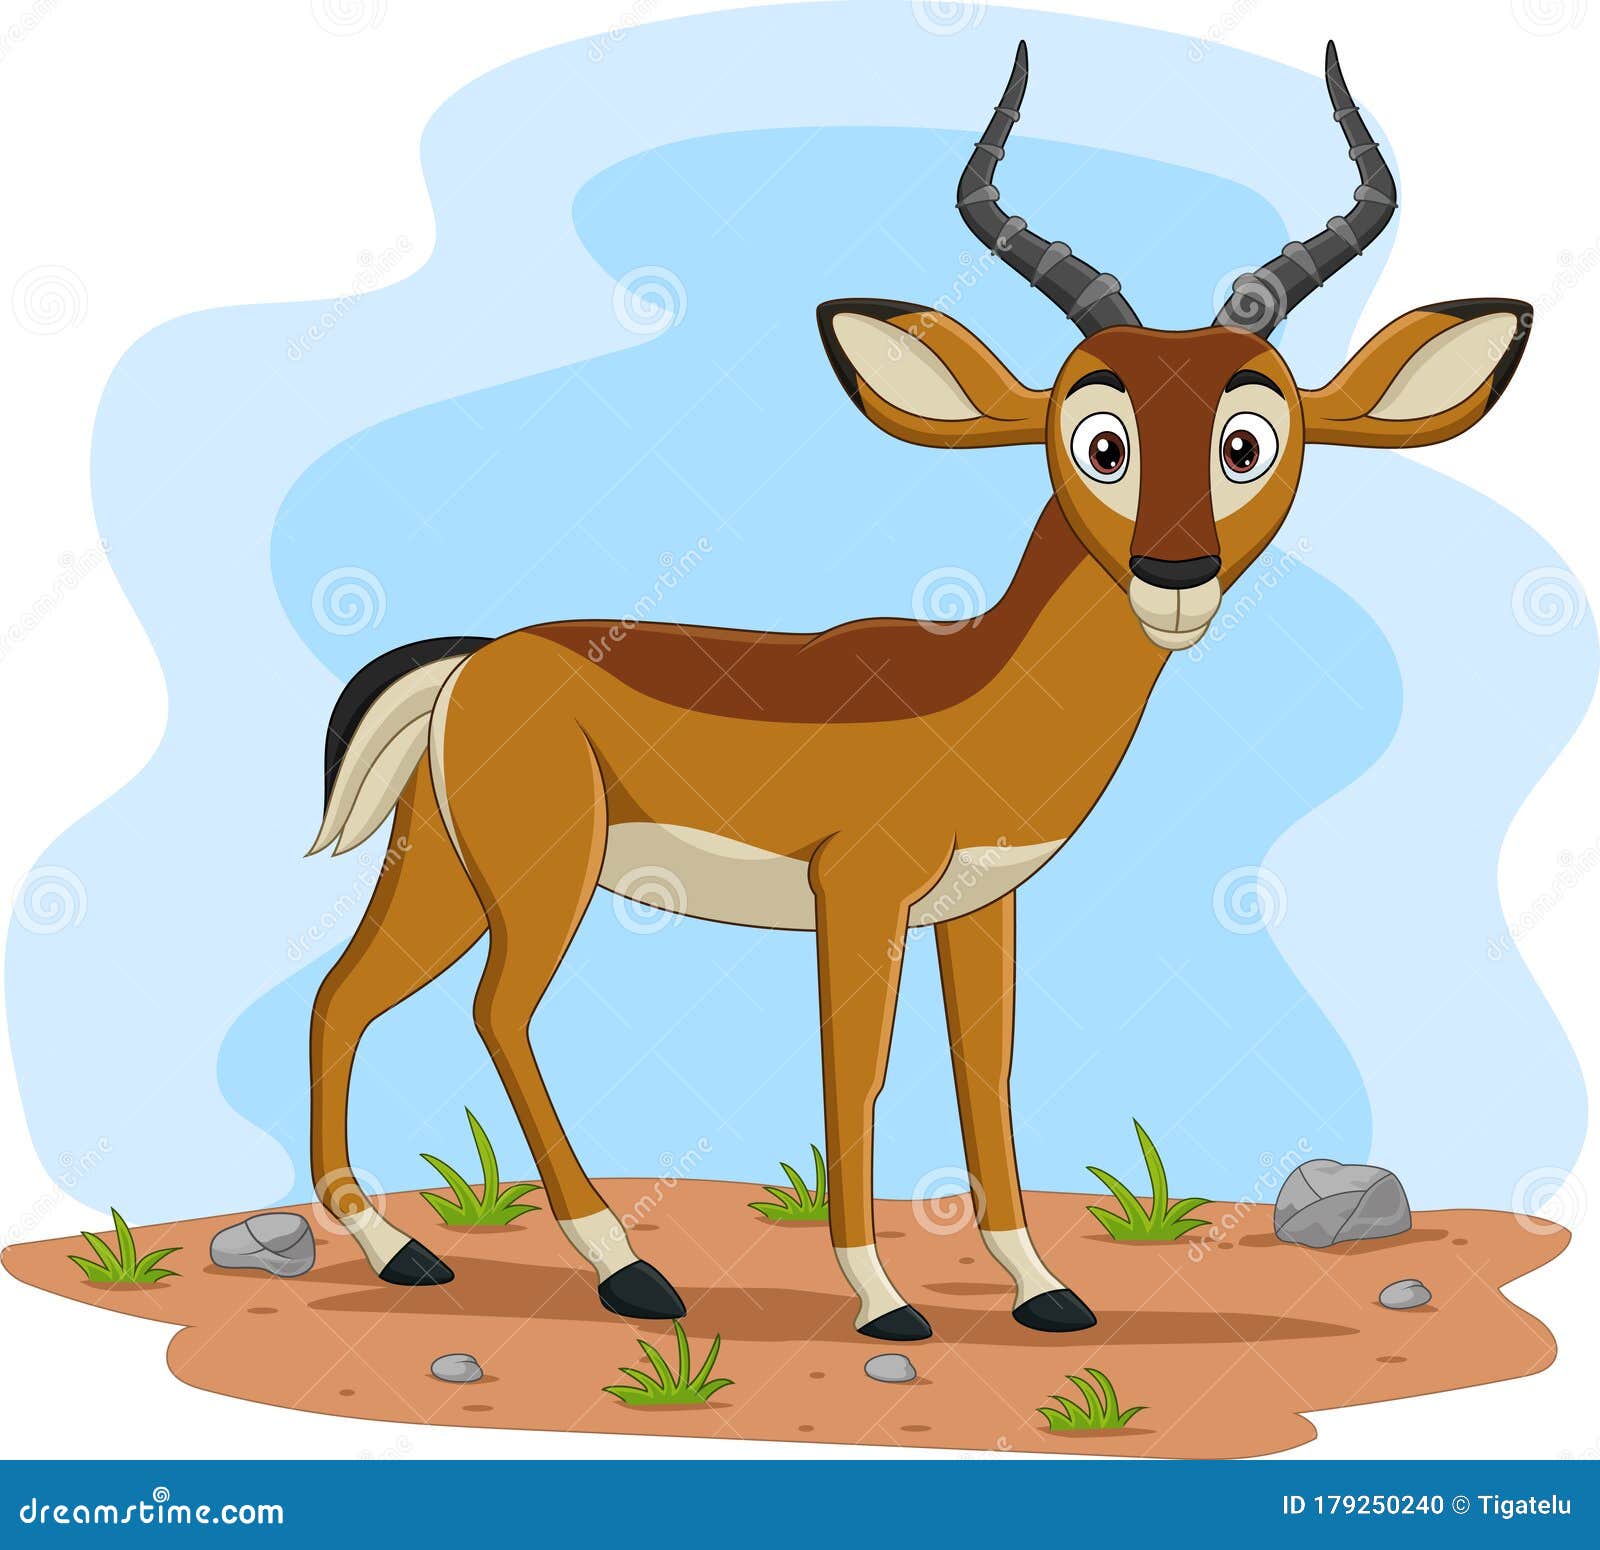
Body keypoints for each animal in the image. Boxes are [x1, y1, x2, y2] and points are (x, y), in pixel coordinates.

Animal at [307, 41, 1529, 1340]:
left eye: (1248, 439)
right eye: (1098, 438)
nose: (1176, 573)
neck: (979, 690)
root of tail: (475, 656)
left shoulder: (980, 904)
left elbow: (982, 1069)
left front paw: (1043, 1286)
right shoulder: (860, 892)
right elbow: (859, 1070)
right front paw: (881, 1295)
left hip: (447, 872)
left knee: (345, 996)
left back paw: (400, 1249)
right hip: (543, 878)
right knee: (496, 1012)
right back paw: (622, 1267)